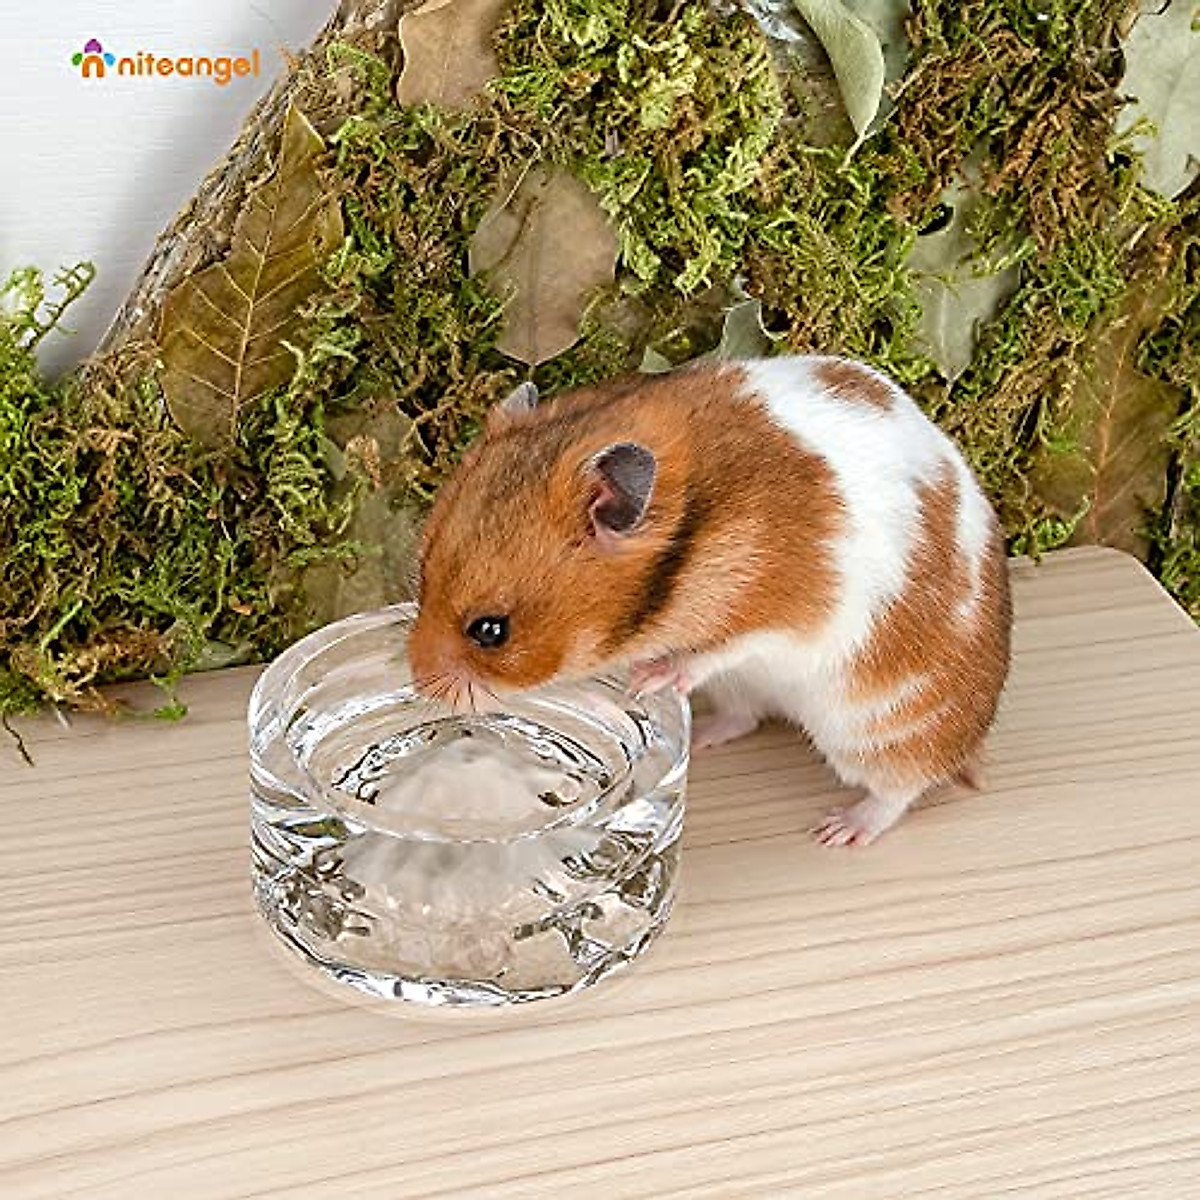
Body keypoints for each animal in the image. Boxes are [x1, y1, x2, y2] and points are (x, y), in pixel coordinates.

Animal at [408, 356, 1012, 846]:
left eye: (491, 631)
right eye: (422, 571)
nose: (417, 685)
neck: (688, 536)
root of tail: (973, 740)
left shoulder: (778, 616)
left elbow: (713, 650)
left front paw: (646, 680)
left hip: (884, 732)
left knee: (900, 789)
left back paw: (840, 829)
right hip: (747, 692)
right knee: (746, 717)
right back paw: (702, 740)